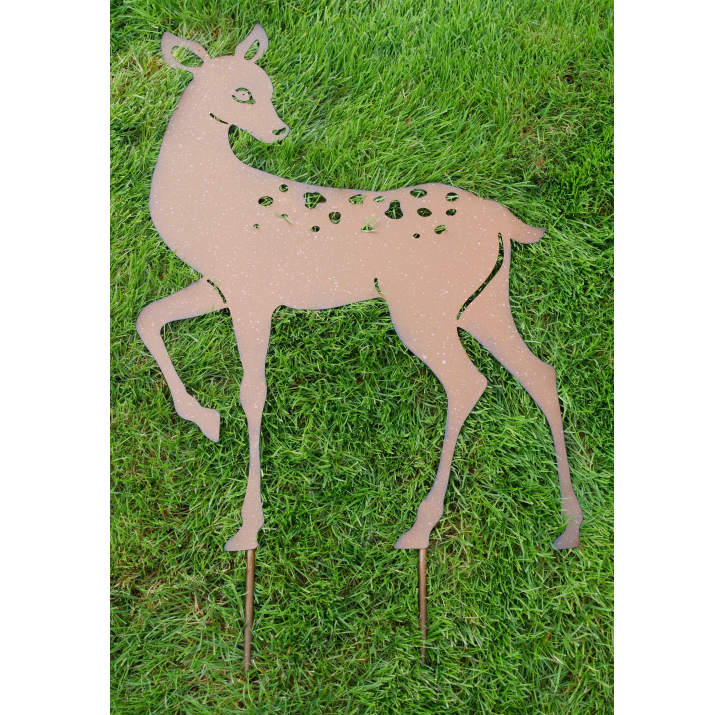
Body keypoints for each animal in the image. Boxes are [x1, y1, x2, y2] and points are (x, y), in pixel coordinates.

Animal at [137, 25, 584, 666]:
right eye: (243, 92)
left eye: (264, 87)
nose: (278, 130)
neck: (211, 198)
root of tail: (505, 222)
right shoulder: (222, 286)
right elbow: (148, 319)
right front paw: (203, 419)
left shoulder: (252, 291)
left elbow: (253, 391)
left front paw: (247, 530)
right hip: (482, 301)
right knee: (539, 373)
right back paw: (568, 527)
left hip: (422, 308)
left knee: (469, 381)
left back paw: (420, 529)